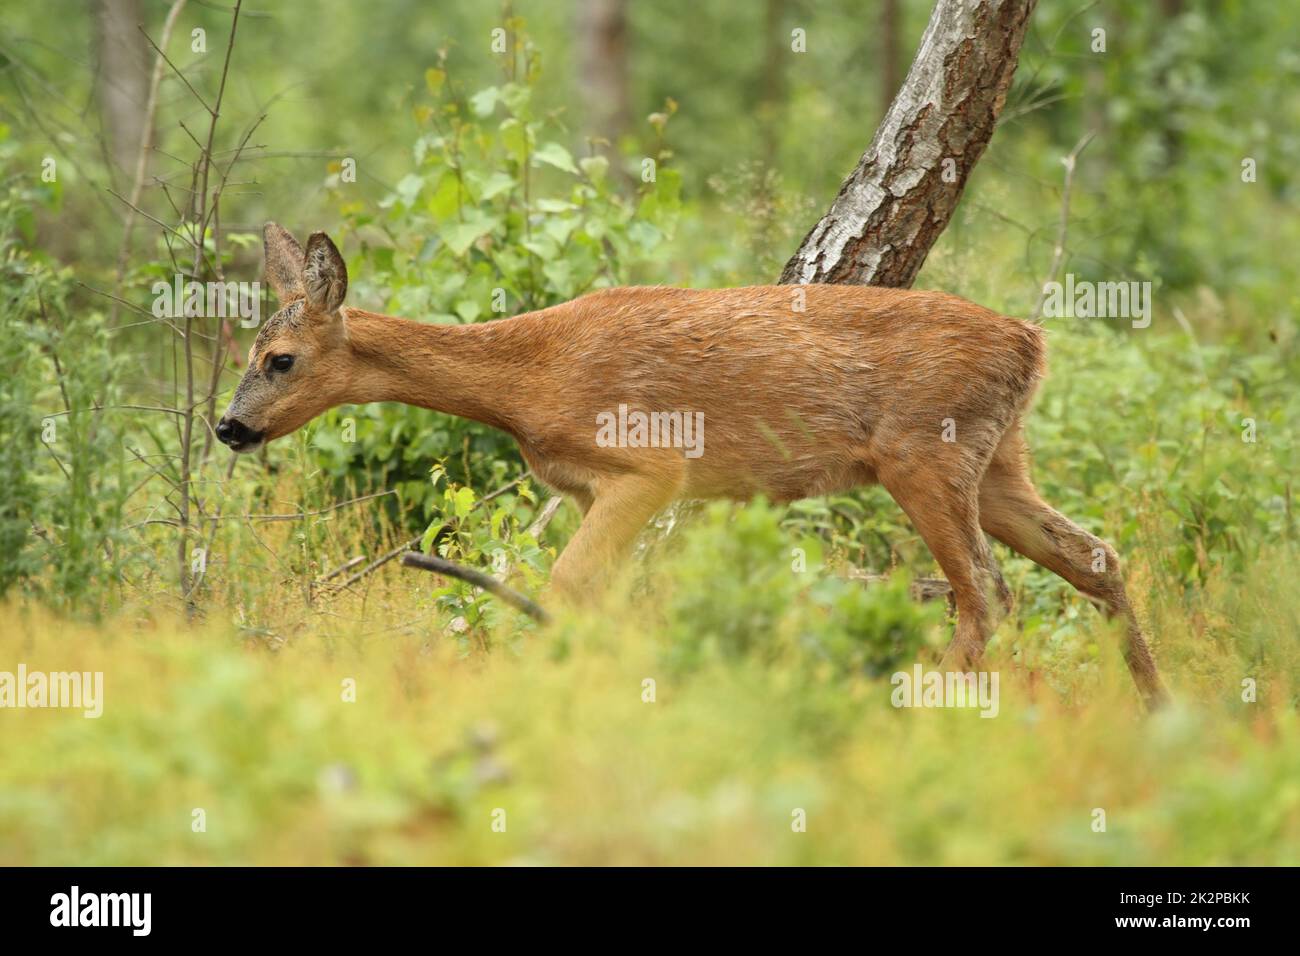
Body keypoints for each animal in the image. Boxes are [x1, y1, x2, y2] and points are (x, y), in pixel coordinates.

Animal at [217, 223, 1167, 706]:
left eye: (281, 360)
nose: (228, 427)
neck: (524, 382)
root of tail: (1032, 341)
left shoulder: (649, 467)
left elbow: (567, 585)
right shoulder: (611, 492)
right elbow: (614, 594)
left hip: (923, 453)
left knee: (987, 590)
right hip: (999, 457)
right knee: (1093, 556)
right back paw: (1159, 705)